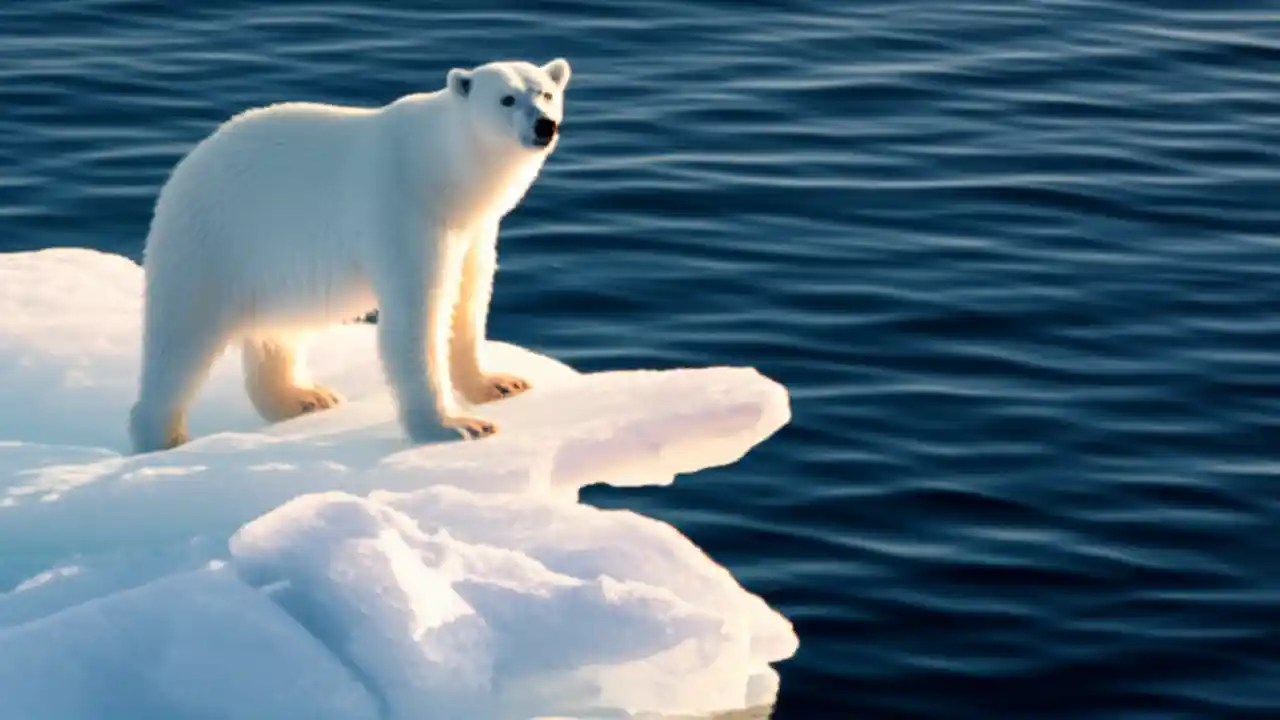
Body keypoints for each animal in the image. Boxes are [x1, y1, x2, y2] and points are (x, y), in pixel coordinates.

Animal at [128, 58, 571, 453]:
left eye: (546, 93)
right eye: (506, 99)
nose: (544, 125)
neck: (442, 168)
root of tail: (183, 171)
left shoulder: (472, 229)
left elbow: (469, 298)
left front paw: (498, 383)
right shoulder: (402, 210)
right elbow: (417, 314)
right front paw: (454, 426)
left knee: (277, 331)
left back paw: (304, 397)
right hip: (215, 240)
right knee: (181, 337)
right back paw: (164, 437)